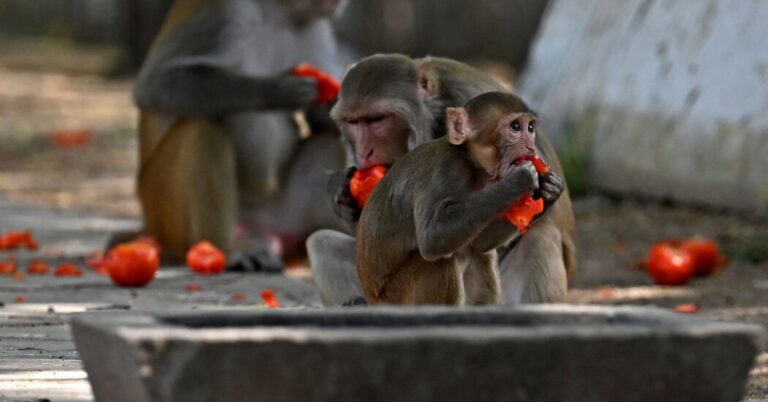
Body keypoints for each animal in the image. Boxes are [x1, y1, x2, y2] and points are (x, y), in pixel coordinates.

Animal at [127, 0, 346, 270]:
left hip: (282, 217)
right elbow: (156, 84)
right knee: (202, 127)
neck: (280, 13)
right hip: (162, 209)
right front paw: (277, 90)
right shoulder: (223, 14)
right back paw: (223, 249)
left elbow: (321, 122)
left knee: (327, 141)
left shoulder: (316, 28)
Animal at [355, 92, 564, 305]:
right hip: (398, 295)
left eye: (530, 128)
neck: (472, 164)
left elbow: (479, 243)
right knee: (438, 262)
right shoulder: (444, 169)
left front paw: (550, 191)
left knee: (480, 256)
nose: (531, 147)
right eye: (515, 127)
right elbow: (432, 237)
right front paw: (518, 181)